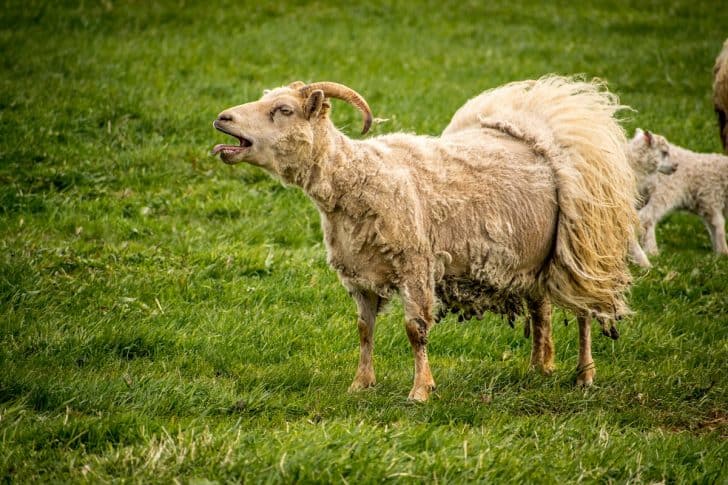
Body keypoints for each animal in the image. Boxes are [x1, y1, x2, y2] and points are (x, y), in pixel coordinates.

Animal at [212, 76, 637, 400]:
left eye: (283, 110)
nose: (221, 118)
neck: (359, 178)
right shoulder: (359, 275)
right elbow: (364, 330)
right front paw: (360, 384)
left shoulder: (415, 265)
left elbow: (415, 331)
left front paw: (420, 390)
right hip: (533, 257)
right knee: (541, 310)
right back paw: (539, 367)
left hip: (582, 244)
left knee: (584, 312)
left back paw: (584, 375)